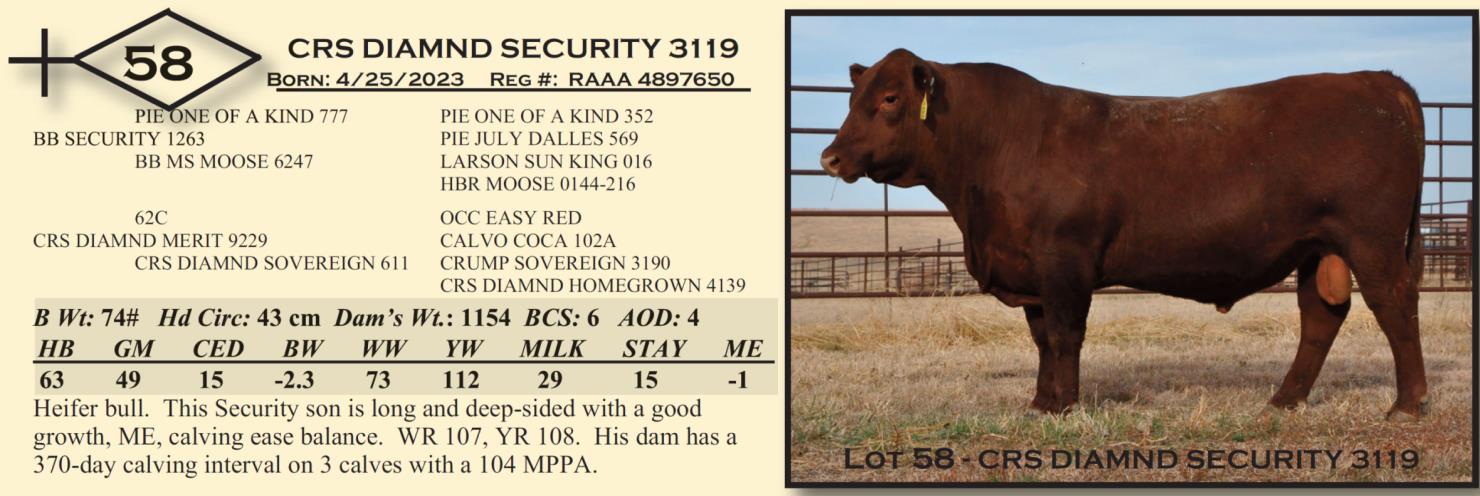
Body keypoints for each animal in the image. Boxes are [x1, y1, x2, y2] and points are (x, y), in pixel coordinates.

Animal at [819, 49, 1427, 420]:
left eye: (890, 99)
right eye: (851, 99)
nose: (830, 157)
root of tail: (1377, 81)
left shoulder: (1063, 259)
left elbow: (1065, 334)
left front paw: (1065, 406)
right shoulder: (1030, 269)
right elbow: (1042, 338)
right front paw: (1041, 403)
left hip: (1371, 238)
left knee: (1394, 305)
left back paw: (1407, 405)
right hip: (1317, 247)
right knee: (1321, 316)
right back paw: (1283, 400)